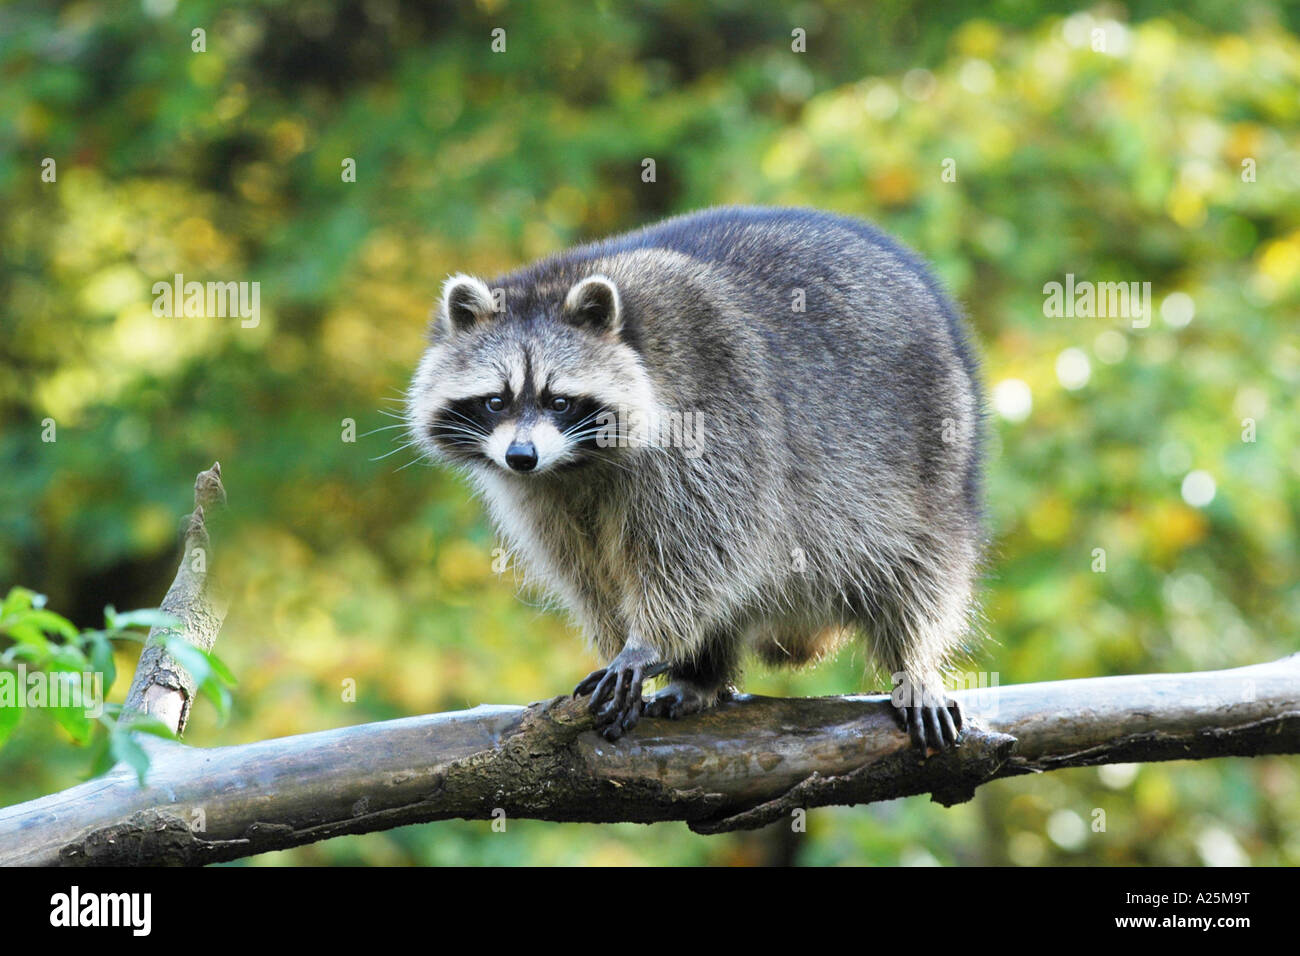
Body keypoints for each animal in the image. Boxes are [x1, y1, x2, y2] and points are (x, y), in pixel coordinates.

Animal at [407, 206, 985, 750]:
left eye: (560, 401)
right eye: (495, 401)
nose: (521, 455)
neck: (579, 461)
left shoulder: (715, 417)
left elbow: (705, 548)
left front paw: (649, 641)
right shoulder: (541, 494)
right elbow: (587, 570)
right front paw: (632, 640)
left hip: (931, 459)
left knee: (919, 569)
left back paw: (914, 661)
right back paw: (701, 676)